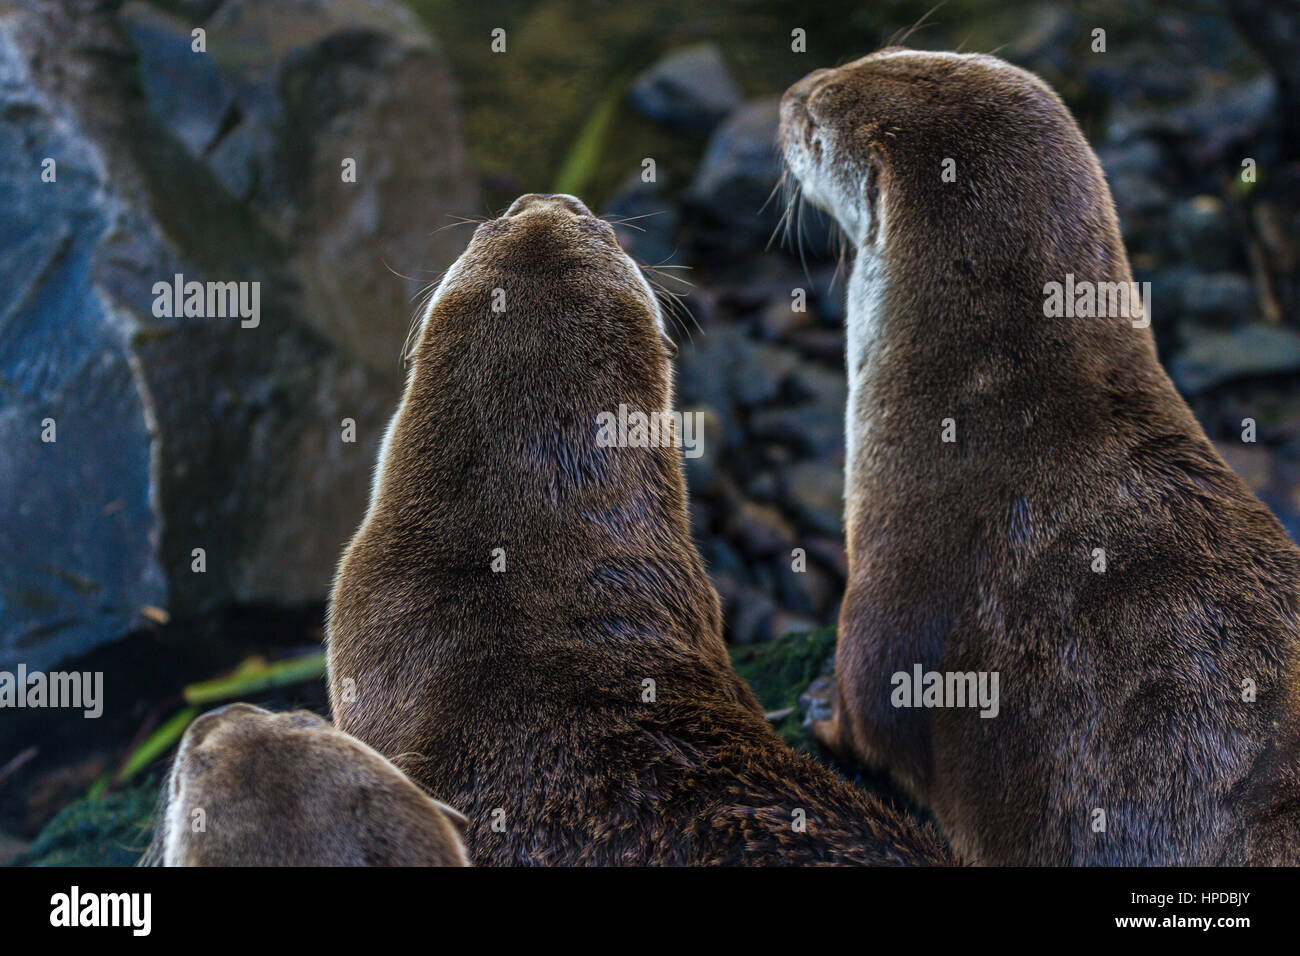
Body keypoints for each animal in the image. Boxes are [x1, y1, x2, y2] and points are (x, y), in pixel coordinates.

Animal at [779, 48, 1300, 865]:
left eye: (814, 125)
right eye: (875, 56)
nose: (788, 97)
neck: (980, 414)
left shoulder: (895, 569)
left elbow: (873, 707)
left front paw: (817, 708)